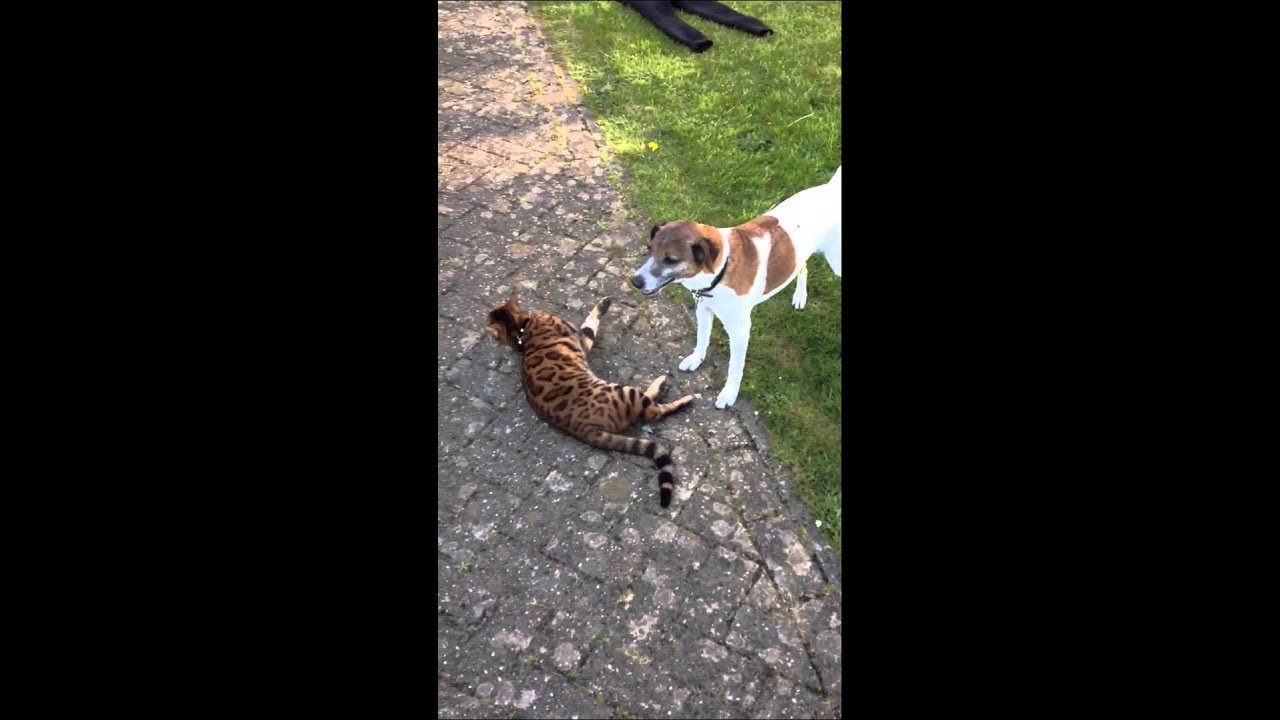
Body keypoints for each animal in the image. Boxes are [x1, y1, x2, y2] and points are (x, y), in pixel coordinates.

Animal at [486, 292, 693, 507]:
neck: (522, 328)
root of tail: (585, 430)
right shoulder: (582, 337)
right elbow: (591, 321)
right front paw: (603, 304)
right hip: (623, 391)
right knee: (652, 411)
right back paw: (674, 391)